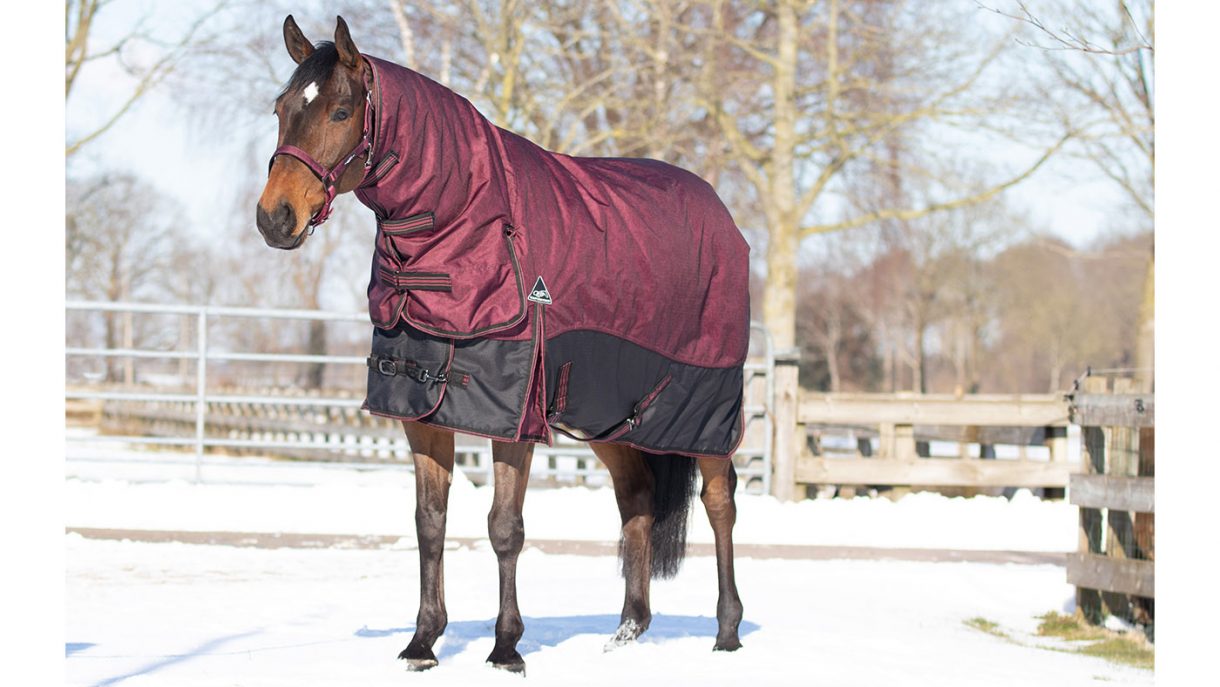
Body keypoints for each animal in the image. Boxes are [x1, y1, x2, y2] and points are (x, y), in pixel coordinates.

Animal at [256, 15, 747, 674]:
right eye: (281, 108)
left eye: (339, 110)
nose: (274, 218)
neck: (468, 232)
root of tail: (723, 216)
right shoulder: (422, 411)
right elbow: (430, 523)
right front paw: (422, 643)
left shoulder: (513, 416)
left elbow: (504, 527)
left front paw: (507, 647)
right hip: (609, 416)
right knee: (636, 496)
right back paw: (626, 631)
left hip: (705, 412)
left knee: (720, 504)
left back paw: (727, 633)